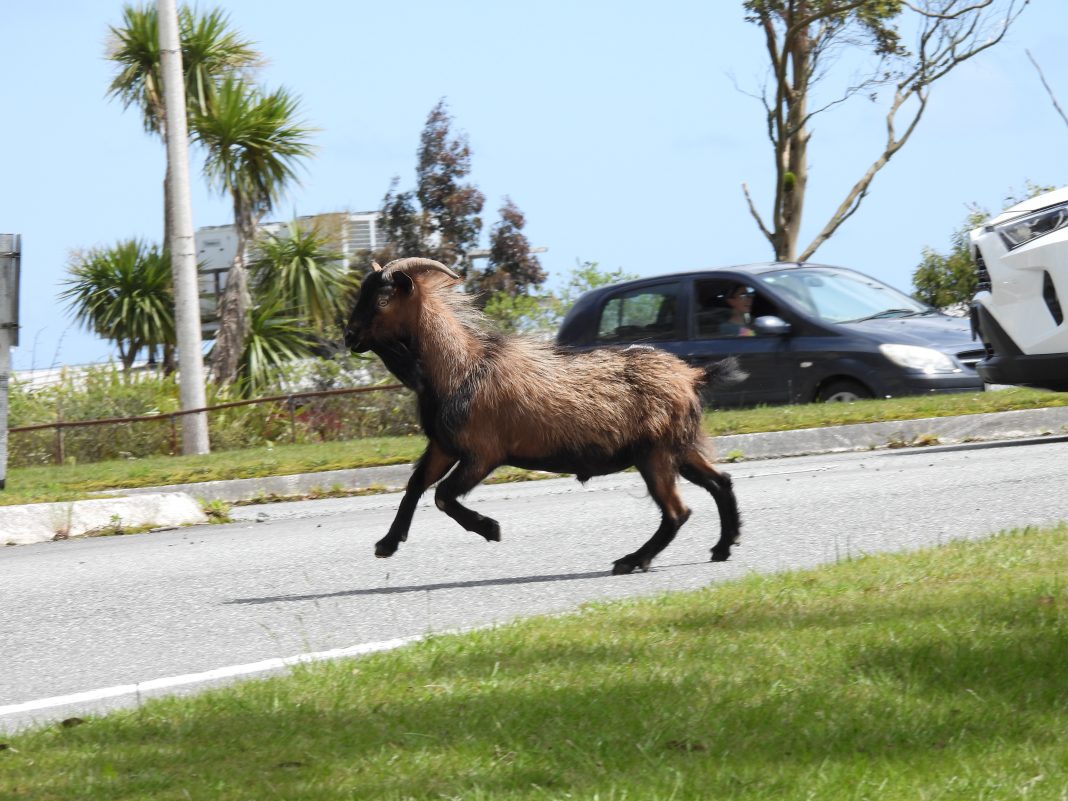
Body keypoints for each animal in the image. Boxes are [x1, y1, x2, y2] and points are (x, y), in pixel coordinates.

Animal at [343, 257, 745, 574]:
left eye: (382, 299)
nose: (349, 336)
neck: (459, 368)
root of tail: (692, 376)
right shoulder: (444, 446)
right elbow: (415, 485)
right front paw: (387, 543)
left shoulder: (483, 453)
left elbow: (443, 495)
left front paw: (490, 528)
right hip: (680, 447)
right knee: (720, 482)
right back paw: (723, 547)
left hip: (656, 453)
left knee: (677, 511)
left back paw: (632, 560)